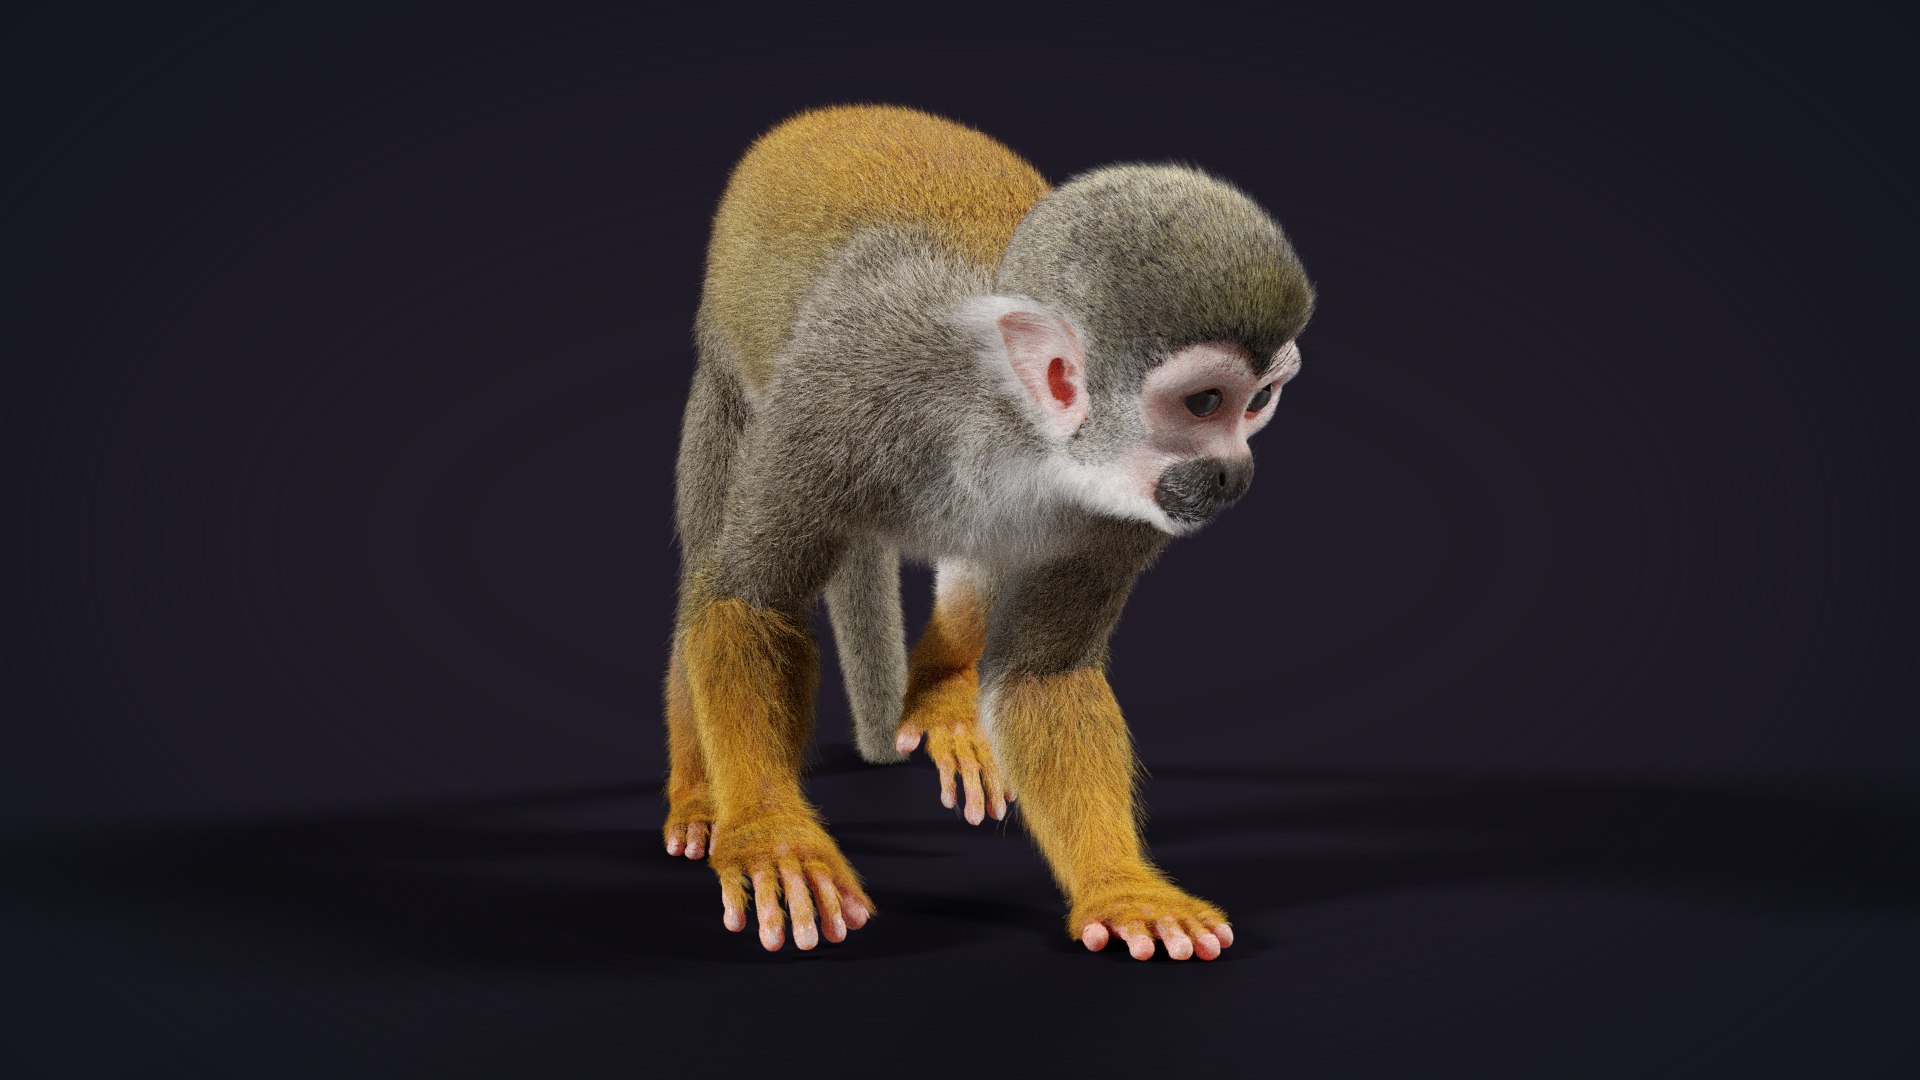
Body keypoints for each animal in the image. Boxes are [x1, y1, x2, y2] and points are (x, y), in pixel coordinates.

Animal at [660, 104, 1313, 960]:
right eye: (1204, 402)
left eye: (1259, 401)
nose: (1238, 472)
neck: (1018, 427)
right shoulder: (850, 393)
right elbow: (749, 598)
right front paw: (773, 835)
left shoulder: (1123, 507)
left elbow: (1044, 675)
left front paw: (1120, 887)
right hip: (728, 362)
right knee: (710, 555)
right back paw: (702, 799)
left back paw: (942, 699)